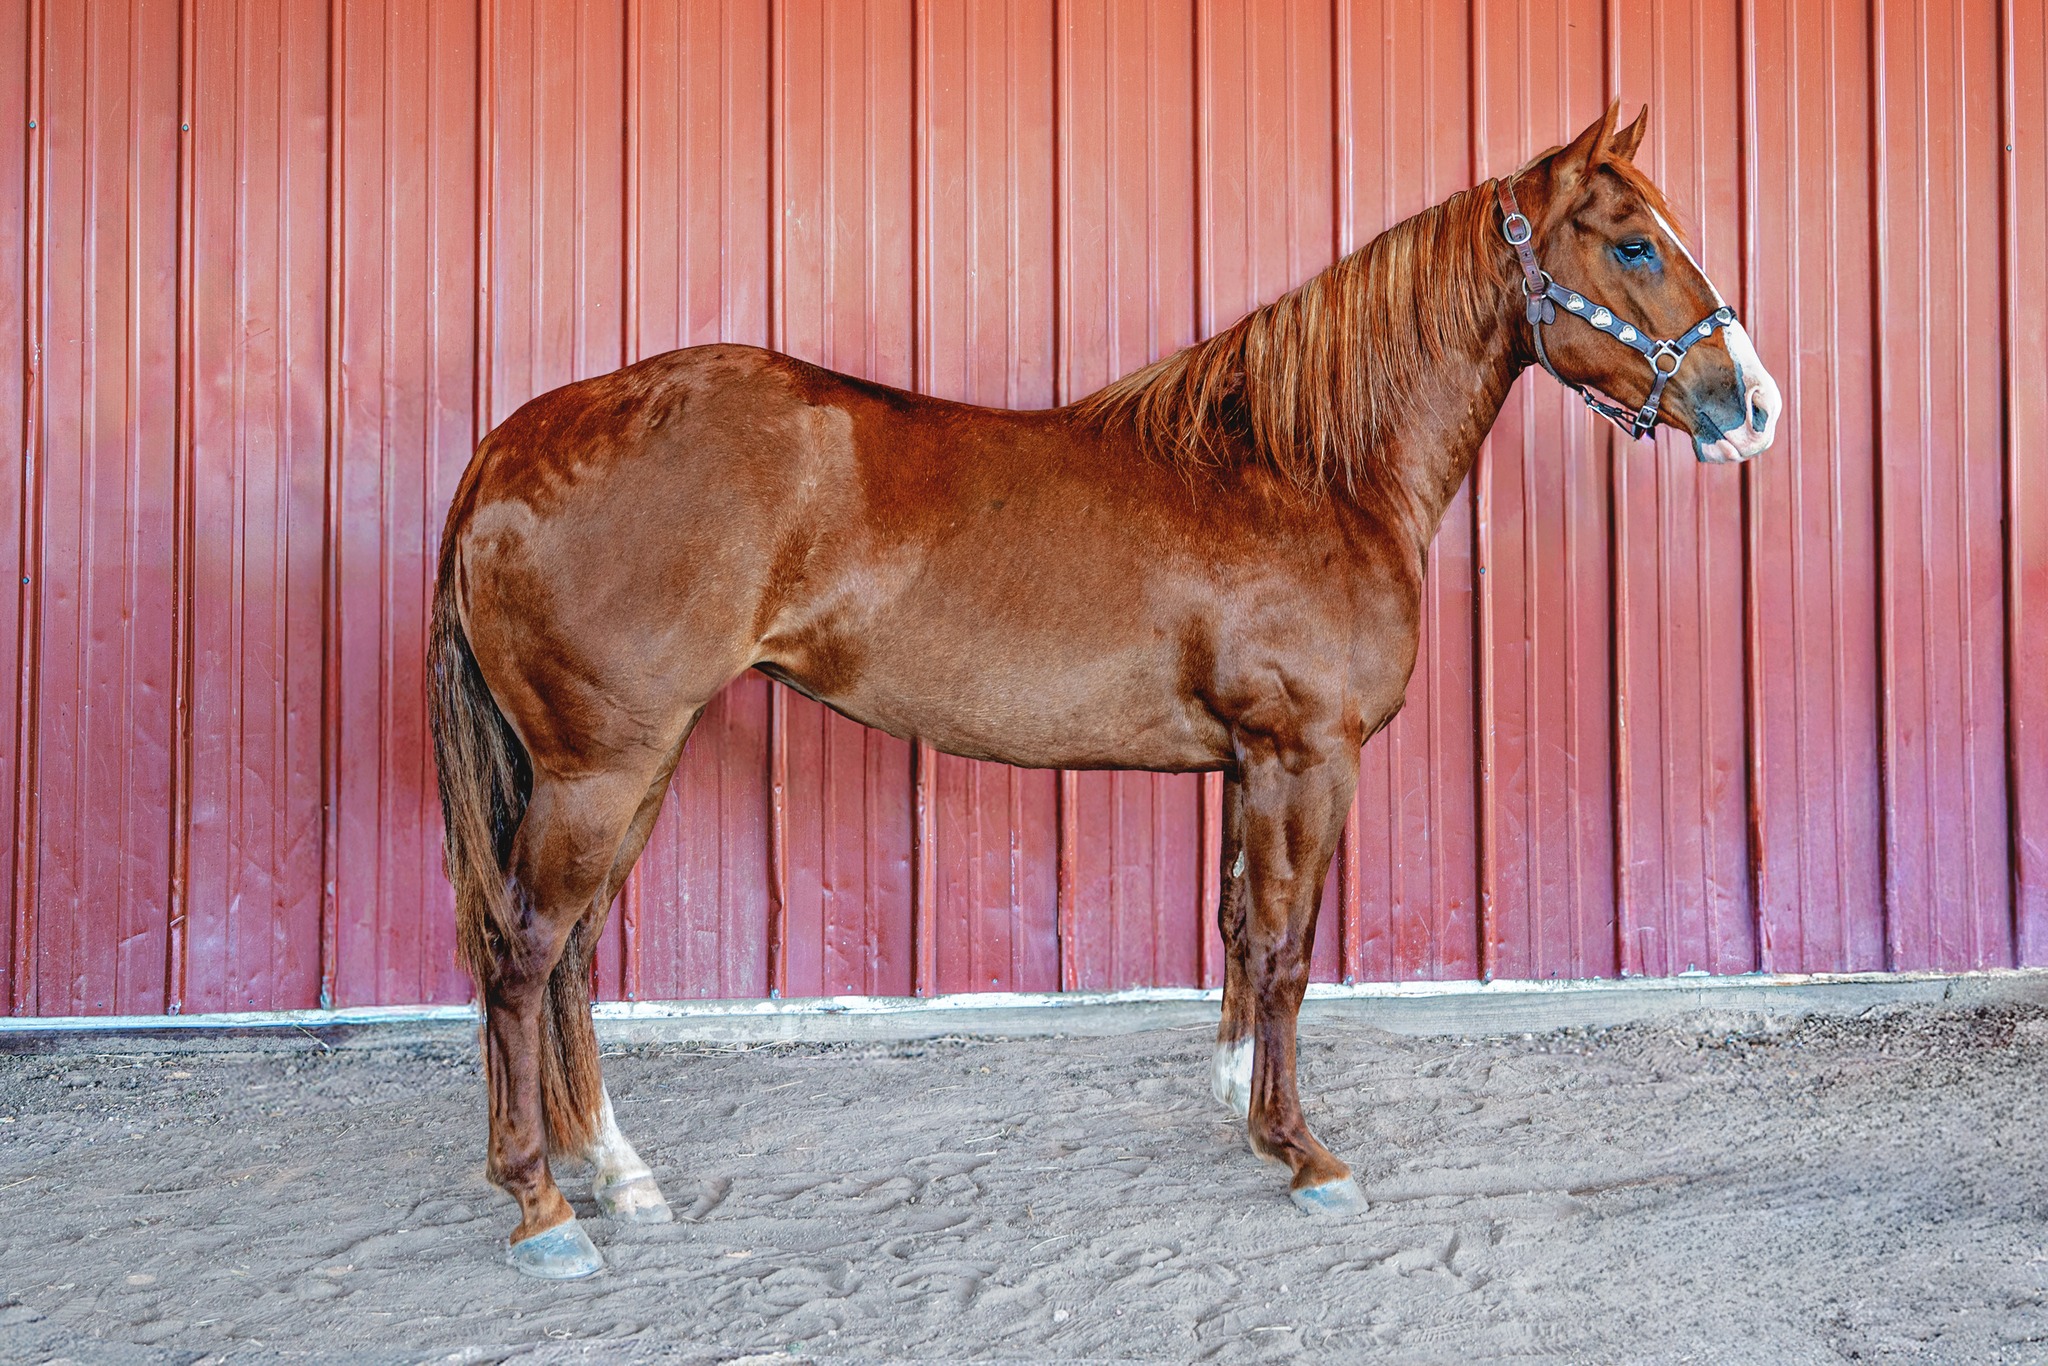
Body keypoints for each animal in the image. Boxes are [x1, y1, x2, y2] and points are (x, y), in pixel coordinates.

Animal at [430, 102, 1781, 1278]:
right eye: (1631, 243)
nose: (1753, 408)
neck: (1305, 468)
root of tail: (508, 442)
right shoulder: (1306, 753)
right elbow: (1288, 947)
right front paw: (1303, 1153)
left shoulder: (1248, 761)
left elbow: (1236, 928)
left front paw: (1236, 1102)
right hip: (599, 768)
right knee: (521, 951)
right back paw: (545, 1207)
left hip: (632, 763)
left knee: (573, 956)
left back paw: (618, 1173)